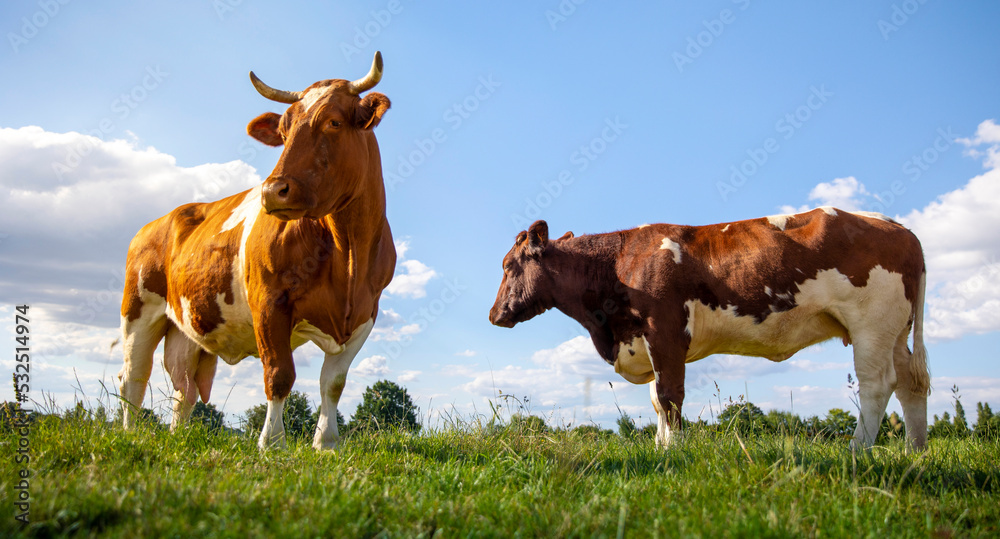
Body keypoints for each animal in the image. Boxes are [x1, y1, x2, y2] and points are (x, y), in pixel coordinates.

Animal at [117, 52, 396, 450]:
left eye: (334, 121)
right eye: (283, 132)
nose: (271, 191)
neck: (349, 254)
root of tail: (159, 220)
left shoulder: (365, 313)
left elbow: (333, 383)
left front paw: (326, 443)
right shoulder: (269, 301)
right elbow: (279, 374)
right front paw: (272, 442)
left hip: (186, 326)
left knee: (184, 388)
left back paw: (178, 438)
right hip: (138, 310)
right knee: (133, 377)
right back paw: (128, 434)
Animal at [489, 207, 930, 450]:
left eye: (509, 265)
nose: (494, 315)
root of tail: (900, 227)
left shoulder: (665, 330)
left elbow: (669, 395)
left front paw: (674, 451)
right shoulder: (647, 339)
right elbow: (656, 399)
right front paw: (660, 447)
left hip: (871, 323)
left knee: (877, 384)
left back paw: (857, 451)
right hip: (896, 330)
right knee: (911, 383)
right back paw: (915, 451)